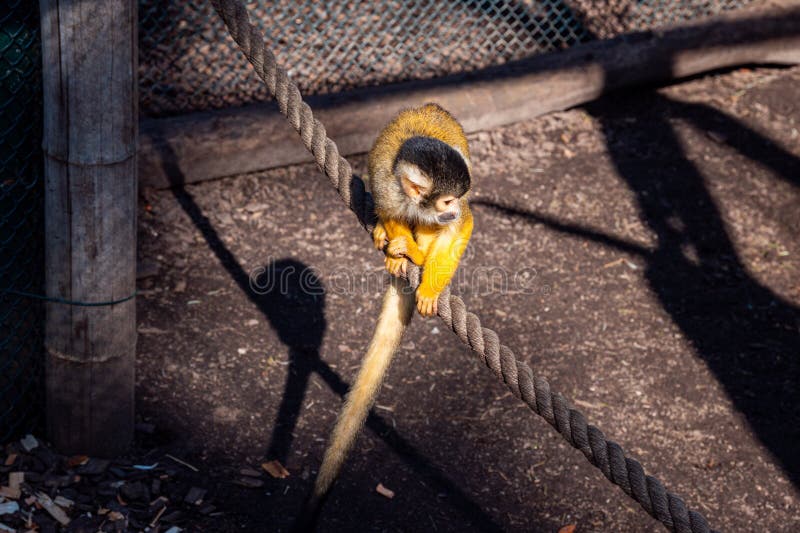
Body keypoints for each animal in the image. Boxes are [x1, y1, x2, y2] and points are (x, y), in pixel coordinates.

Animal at [298, 103, 473, 528]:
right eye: (446, 201)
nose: (452, 210)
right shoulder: (386, 185)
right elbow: (388, 205)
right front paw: (397, 242)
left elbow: (463, 227)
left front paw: (428, 287)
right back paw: (394, 242)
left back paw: (419, 258)